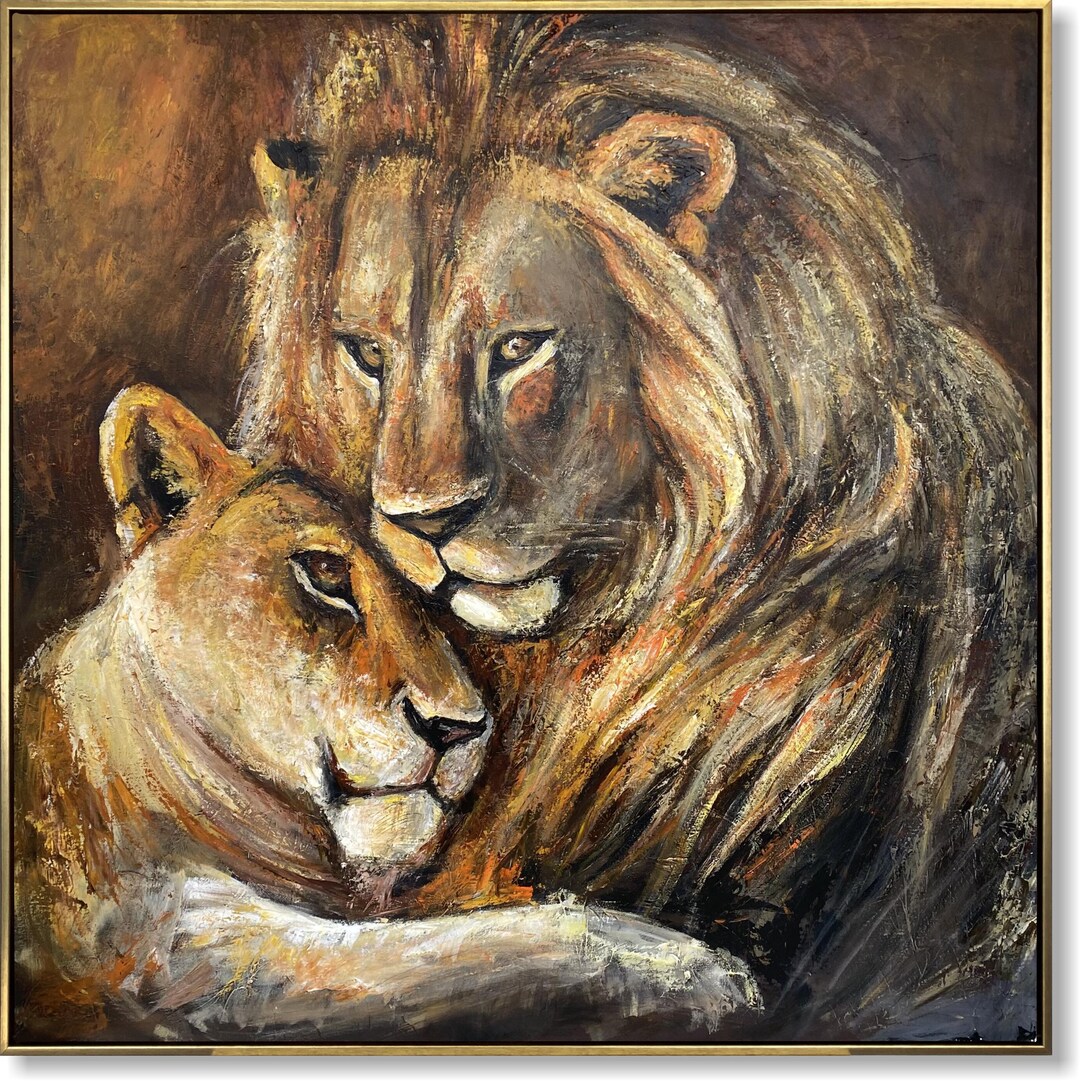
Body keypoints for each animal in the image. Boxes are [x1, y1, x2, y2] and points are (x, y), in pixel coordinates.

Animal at [13, 384, 760, 1044]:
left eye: (433, 599)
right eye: (324, 573)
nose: (457, 728)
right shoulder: (182, 949)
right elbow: (474, 945)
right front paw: (695, 969)